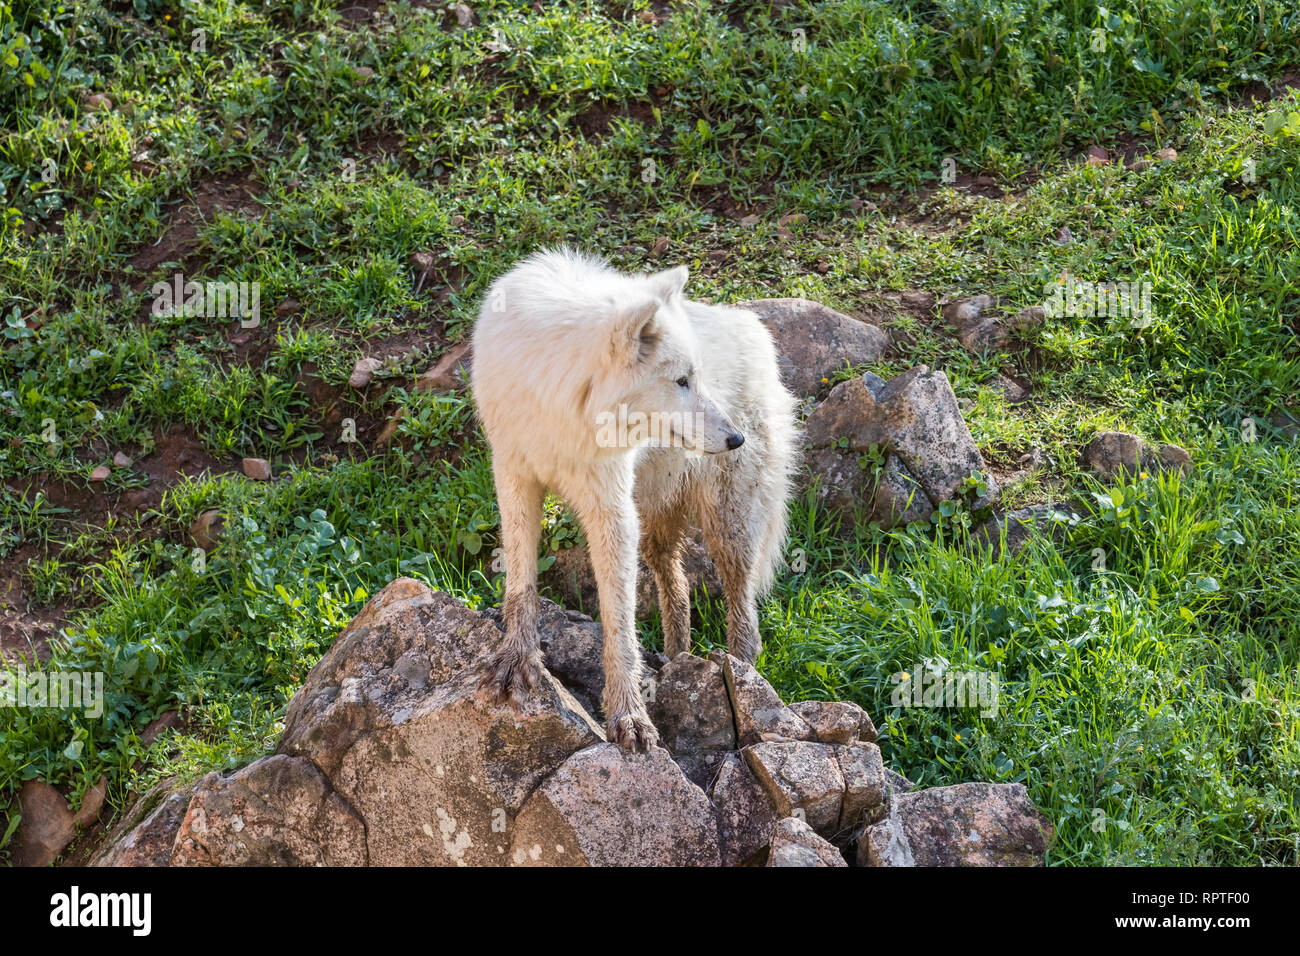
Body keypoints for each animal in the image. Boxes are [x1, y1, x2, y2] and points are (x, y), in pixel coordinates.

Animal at [470, 247, 799, 751]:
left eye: (697, 378)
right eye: (681, 380)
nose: (735, 438)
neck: (563, 401)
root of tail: (755, 329)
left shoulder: (611, 508)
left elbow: (619, 622)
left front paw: (628, 713)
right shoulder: (514, 478)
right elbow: (521, 582)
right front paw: (517, 659)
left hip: (727, 524)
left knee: (743, 611)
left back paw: (740, 673)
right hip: (655, 526)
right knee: (678, 590)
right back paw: (676, 657)